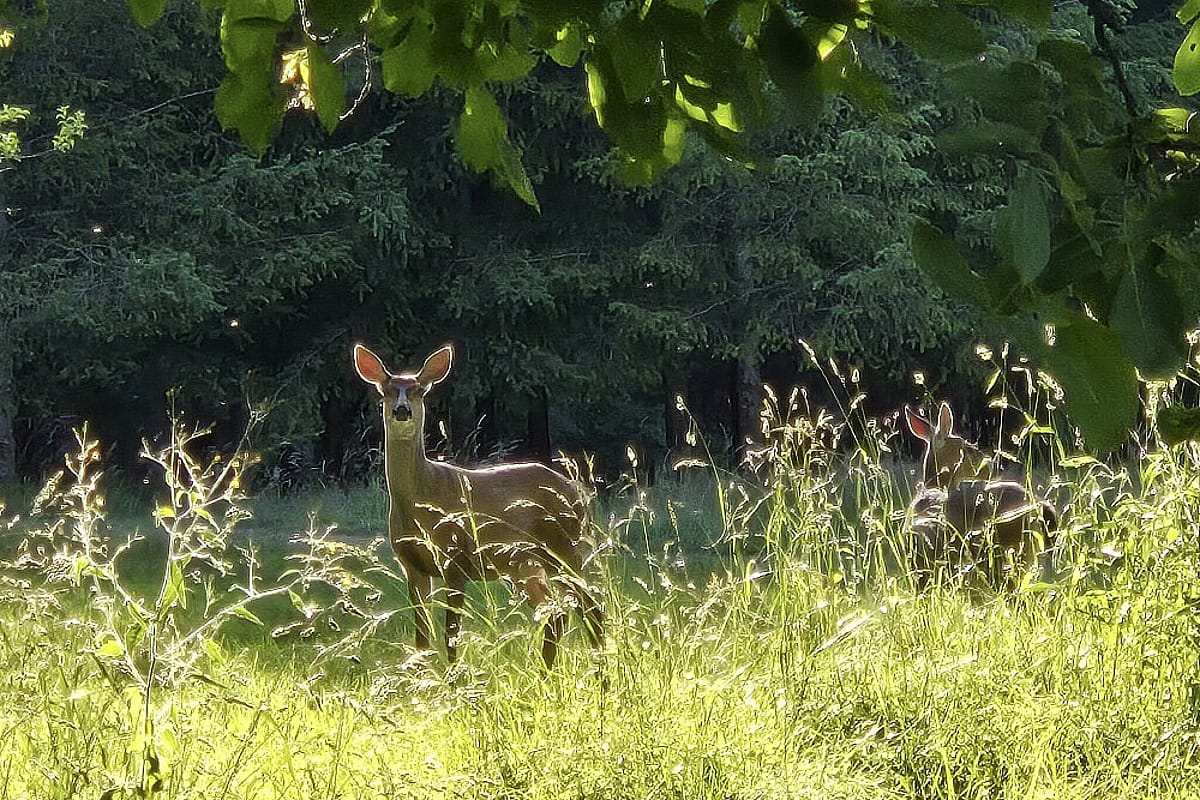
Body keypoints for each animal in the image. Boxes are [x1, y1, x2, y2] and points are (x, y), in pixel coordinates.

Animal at [353, 343, 602, 668]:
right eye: (386, 390)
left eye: (419, 390)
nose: (402, 410)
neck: (422, 499)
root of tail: (580, 494)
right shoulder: (413, 566)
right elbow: (422, 639)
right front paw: (422, 675)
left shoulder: (456, 556)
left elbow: (451, 633)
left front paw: (455, 675)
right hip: (525, 562)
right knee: (557, 611)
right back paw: (547, 670)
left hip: (564, 549)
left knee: (590, 608)